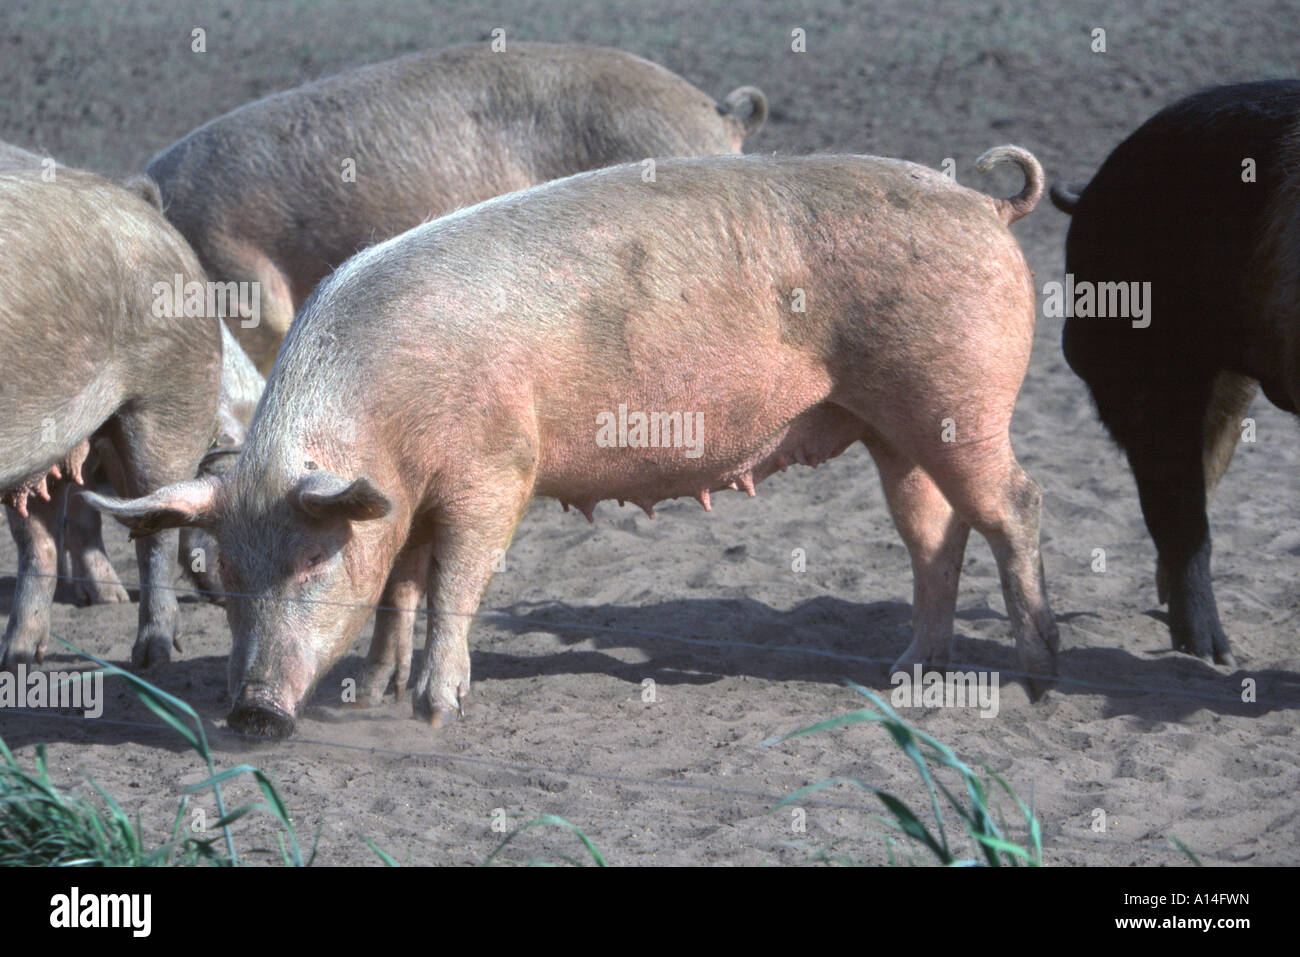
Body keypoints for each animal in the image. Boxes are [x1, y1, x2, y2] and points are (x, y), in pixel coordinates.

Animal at [0, 166, 221, 669]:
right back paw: (18, 658)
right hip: (48, 441)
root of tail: (145, 205)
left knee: (157, 528)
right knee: (39, 542)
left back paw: (152, 656)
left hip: (169, 399)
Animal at [88, 147, 1059, 738]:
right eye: (223, 575)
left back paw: (1039, 675)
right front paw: (374, 690)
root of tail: (987, 205)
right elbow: (401, 586)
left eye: (314, 563)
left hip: (958, 394)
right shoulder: (404, 499)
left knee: (1014, 503)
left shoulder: (493, 467)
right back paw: (906, 673)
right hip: (894, 429)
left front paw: (435, 709)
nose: (253, 713)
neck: (390, 421)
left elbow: (456, 579)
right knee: (934, 534)